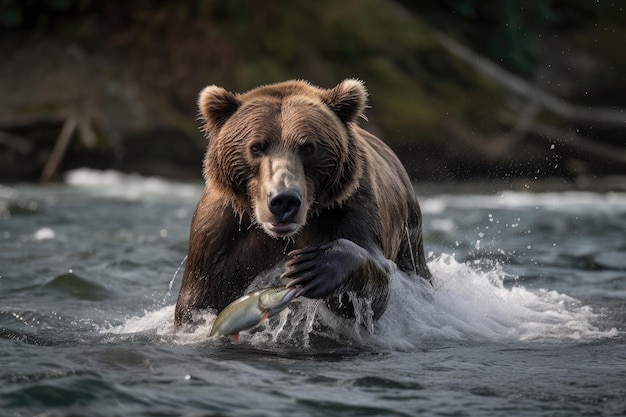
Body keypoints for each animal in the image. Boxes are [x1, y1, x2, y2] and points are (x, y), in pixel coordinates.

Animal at [174, 78, 428, 324]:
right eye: (256, 147)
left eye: (307, 147)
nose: (284, 200)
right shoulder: (222, 233)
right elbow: (202, 298)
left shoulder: (350, 206)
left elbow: (374, 285)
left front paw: (315, 266)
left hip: (408, 234)